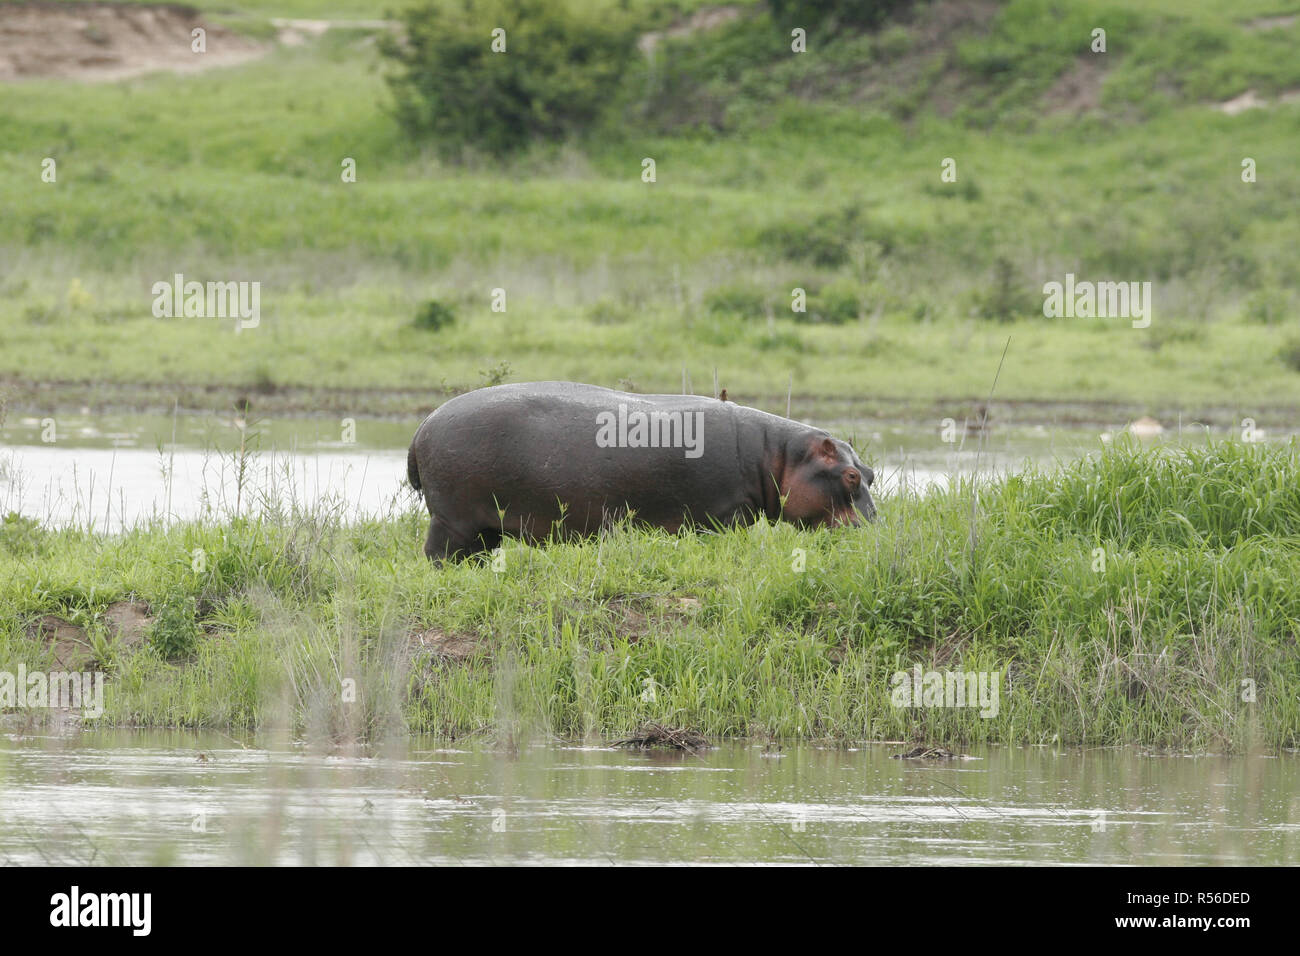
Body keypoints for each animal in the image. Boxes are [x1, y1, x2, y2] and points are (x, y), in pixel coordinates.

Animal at [407, 382, 875, 560]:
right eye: (850, 478)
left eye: (870, 472)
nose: (876, 530)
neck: (777, 456)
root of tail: (422, 426)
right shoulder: (725, 514)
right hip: (452, 520)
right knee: (438, 555)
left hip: (485, 525)